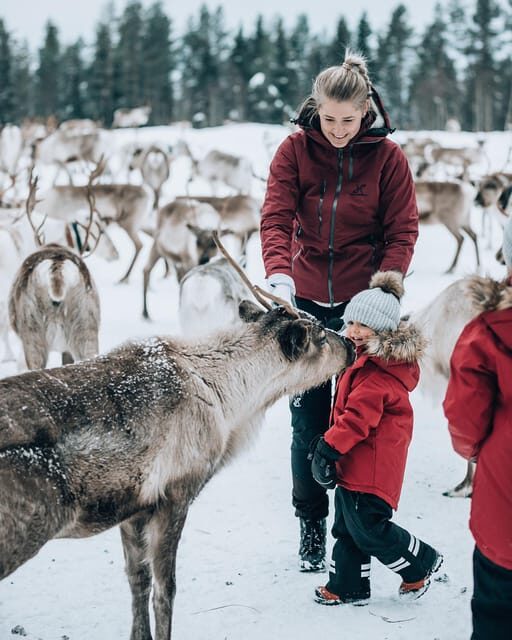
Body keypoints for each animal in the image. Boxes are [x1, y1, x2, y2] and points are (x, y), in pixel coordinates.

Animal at [0, 242, 355, 640]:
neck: (228, 400)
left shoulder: (132, 508)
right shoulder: (175, 494)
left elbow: (137, 581)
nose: (352, 345)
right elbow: (165, 588)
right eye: (320, 335)